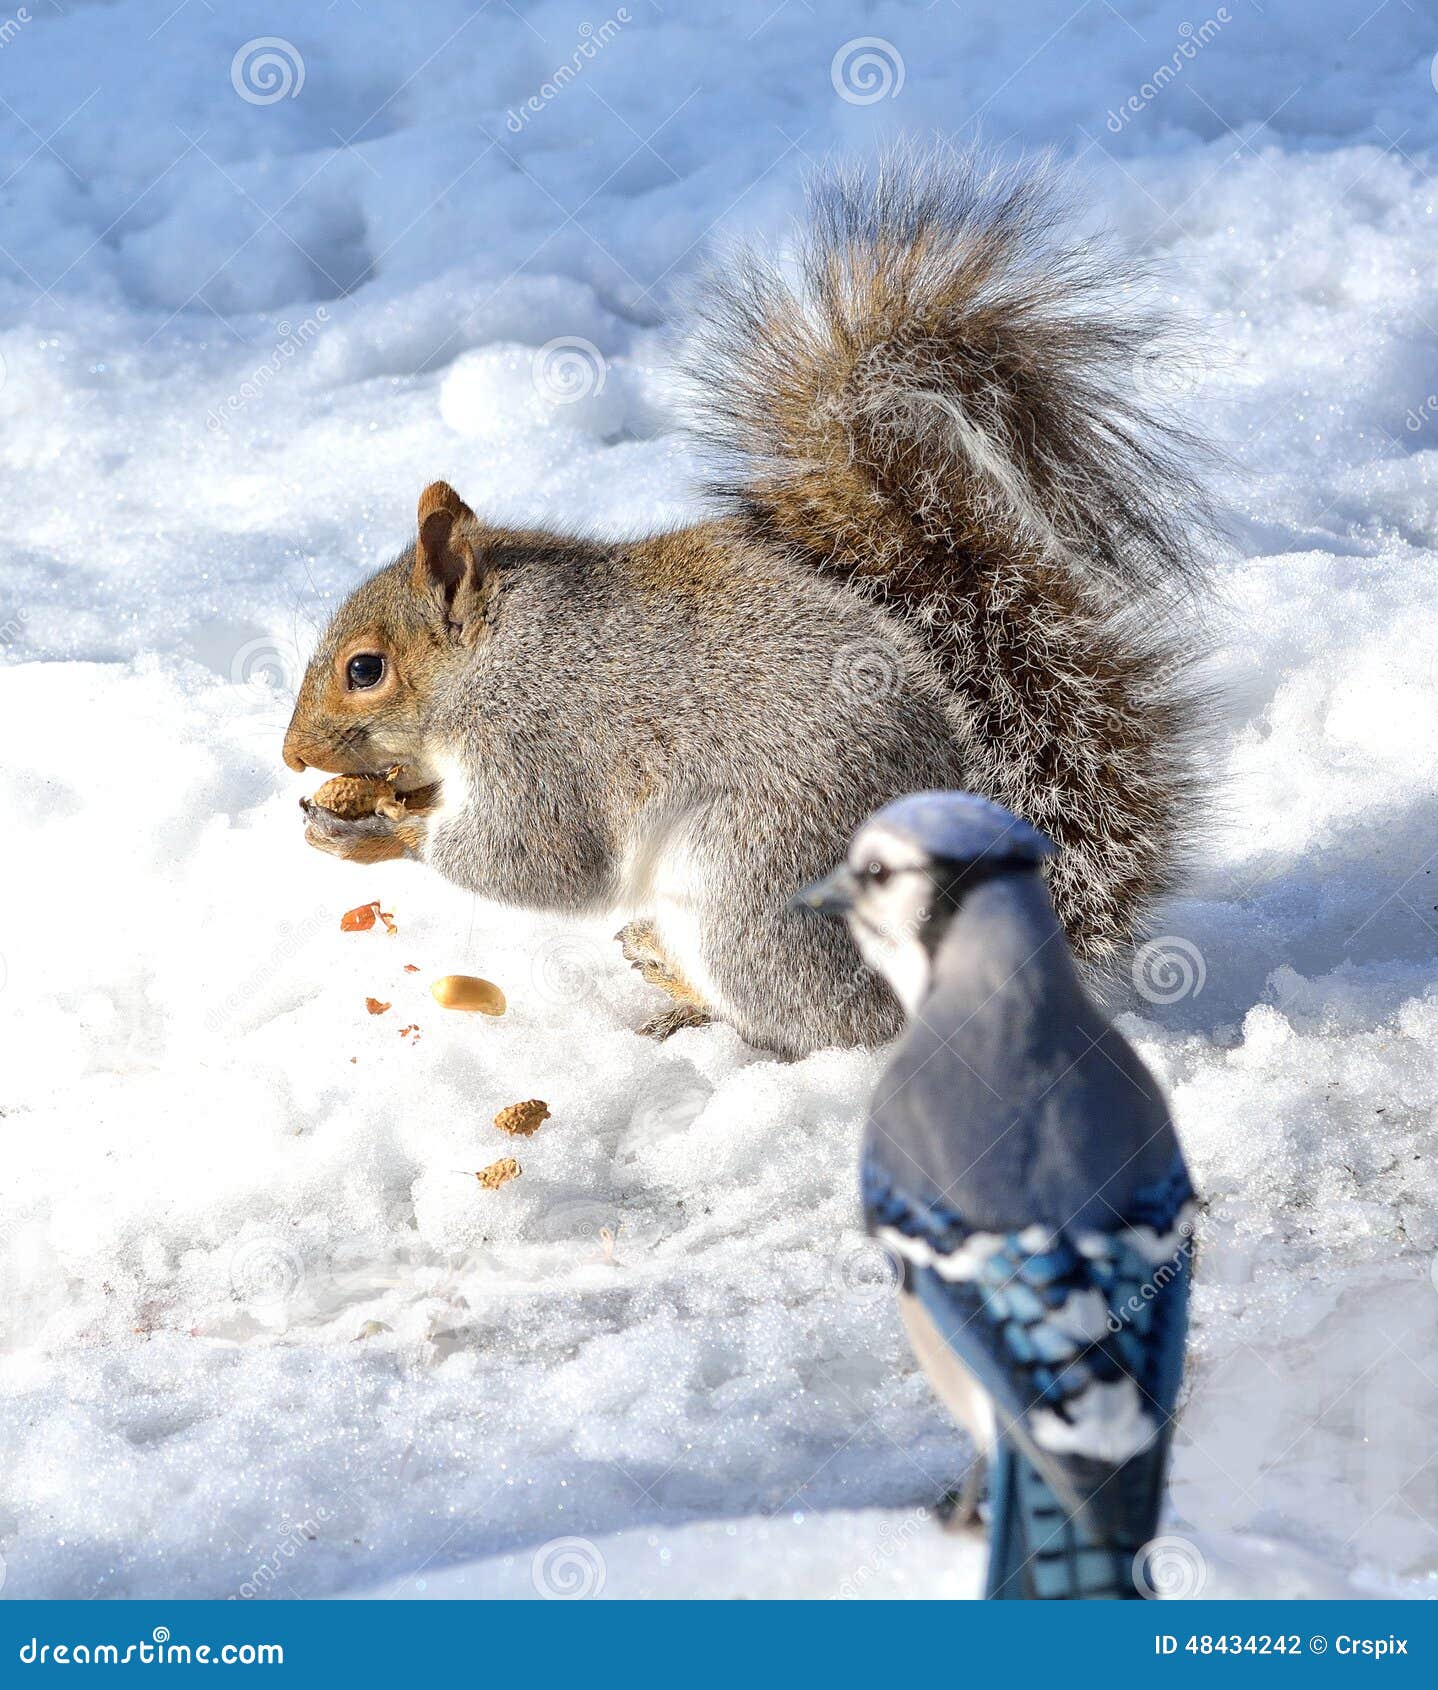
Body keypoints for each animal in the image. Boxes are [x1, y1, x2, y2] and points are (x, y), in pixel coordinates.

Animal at [282, 151, 1213, 1060]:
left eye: (365, 670)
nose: (293, 757)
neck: (496, 649)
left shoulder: (544, 740)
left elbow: (539, 858)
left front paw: (381, 832)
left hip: (750, 882)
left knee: (818, 1023)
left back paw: (685, 987)